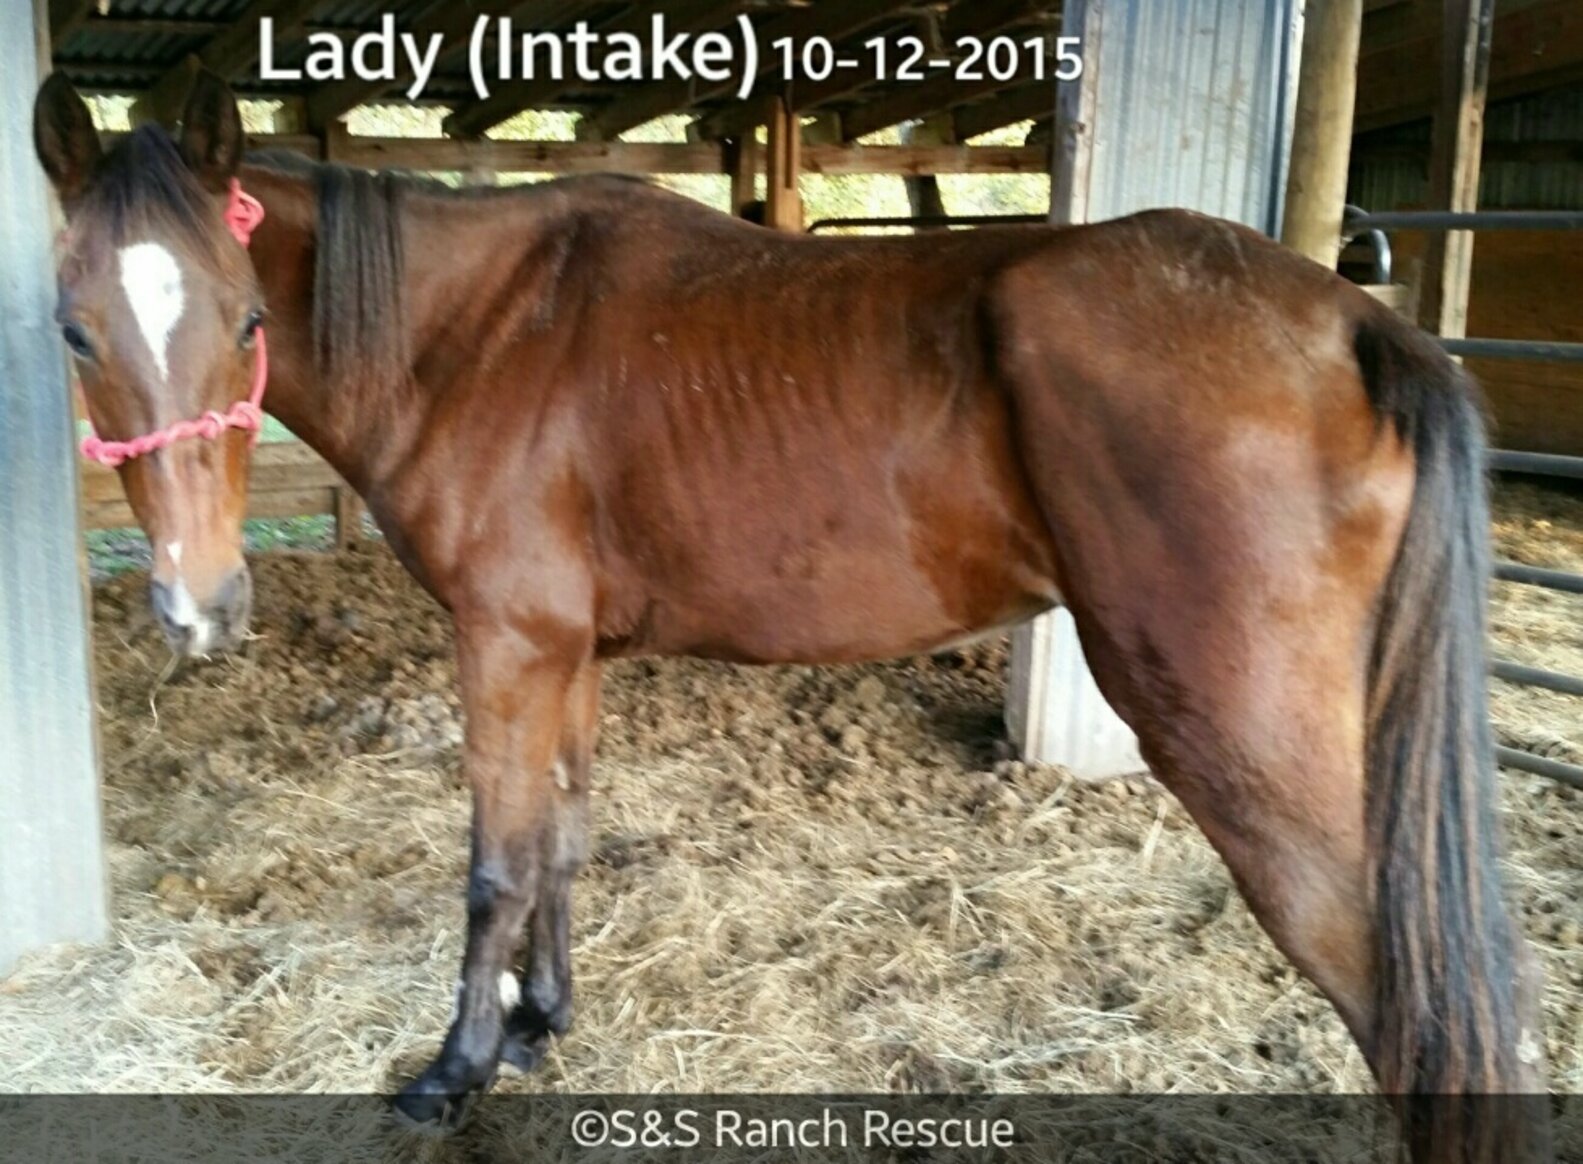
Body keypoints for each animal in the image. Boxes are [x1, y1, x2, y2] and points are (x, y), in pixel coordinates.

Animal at [33, 70, 1548, 1159]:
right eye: (73, 329)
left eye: (243, 322)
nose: (200, 605)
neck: (487, 328)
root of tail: (1354, 324)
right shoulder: (566, 654)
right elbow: (562, 837)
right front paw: (538, 1026)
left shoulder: (504, 646)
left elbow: (493, 865)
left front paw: (454, 1069)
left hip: (1248, 755)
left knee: (1405, 1005)